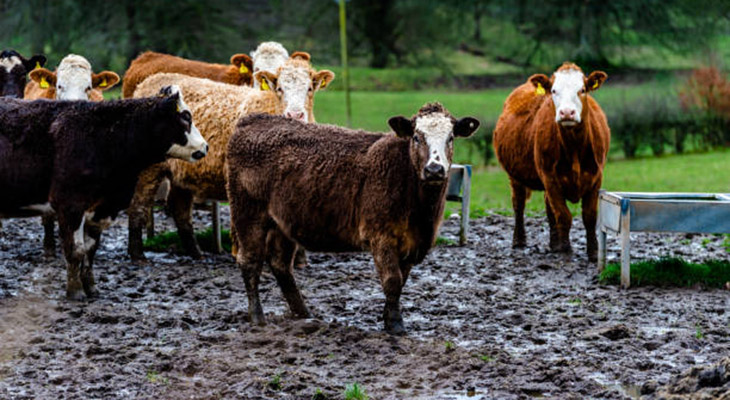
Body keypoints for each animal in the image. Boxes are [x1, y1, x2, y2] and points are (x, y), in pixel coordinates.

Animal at [0, 86, 208, 301]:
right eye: (186, 117)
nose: (205, 147)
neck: (104, 139)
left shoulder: (99, 208)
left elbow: (90, 250)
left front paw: (91, 288)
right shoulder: (70, 205)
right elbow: (75, 250)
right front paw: (75, 291)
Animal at [226, 104, 480, 334]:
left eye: (451, 138)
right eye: (417, 137)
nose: (434, 170)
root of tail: (253, 120)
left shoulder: (411, 244)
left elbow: (401, 281)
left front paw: (388, 318)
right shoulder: (381, 237)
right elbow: (392, 281)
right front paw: (395, 325)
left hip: (282, 224)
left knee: (280, 265)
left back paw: (304, 314)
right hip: (248, 215)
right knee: (250, 262)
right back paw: (258, 317)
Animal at [492, 62, 610, 261]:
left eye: (582, 89)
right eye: (554, 91)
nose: (567, 113)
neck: (574, 148)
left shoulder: (595, 178)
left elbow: (589, 216)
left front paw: (593, 252)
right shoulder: (550, 179)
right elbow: (563, 216)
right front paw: (566, 249)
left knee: (548, 209)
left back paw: (554, 243)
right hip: (515, 177)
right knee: (518, 204)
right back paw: (519, 240)